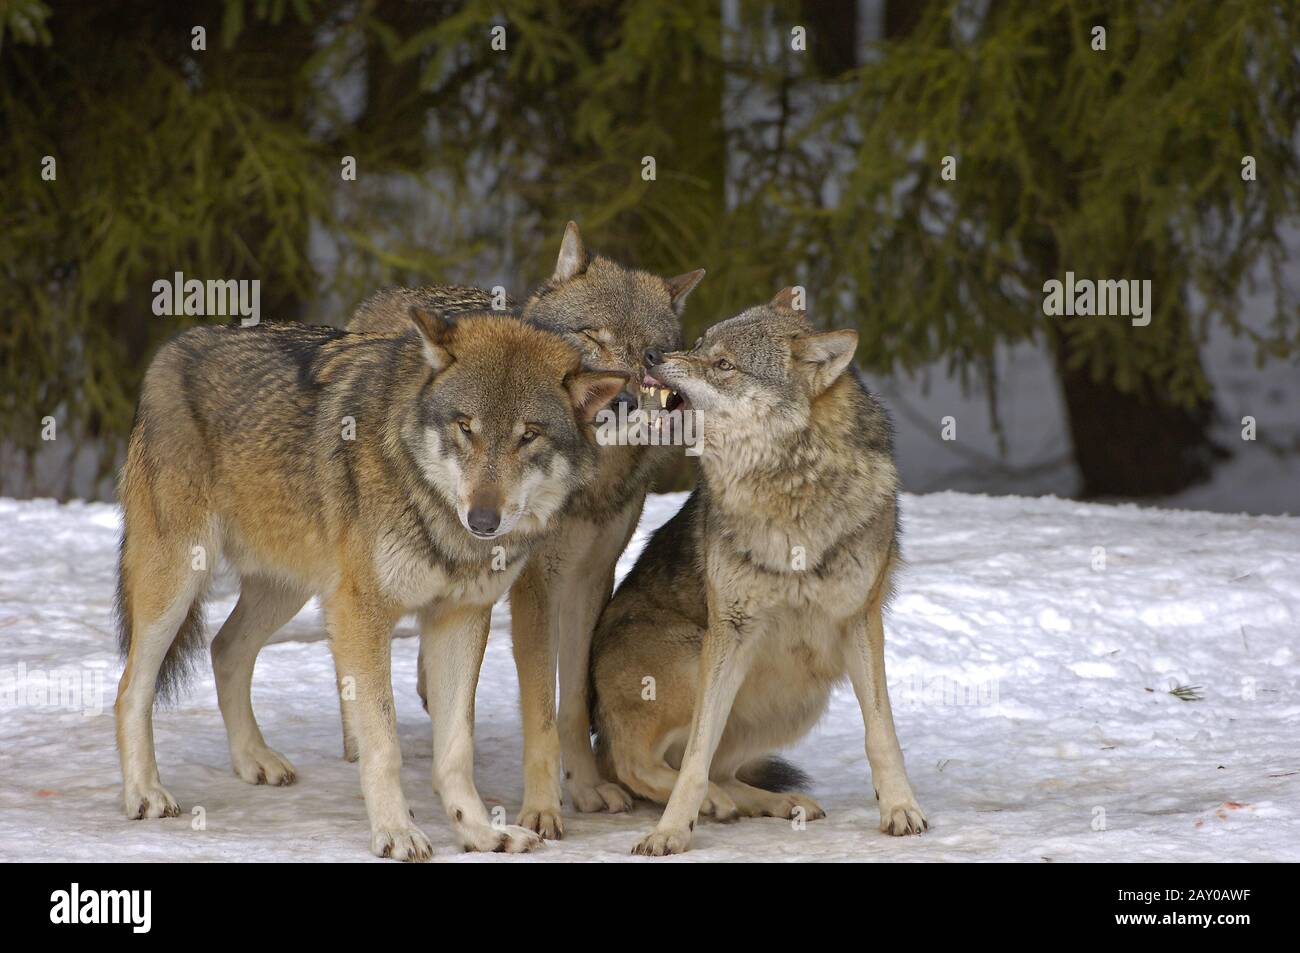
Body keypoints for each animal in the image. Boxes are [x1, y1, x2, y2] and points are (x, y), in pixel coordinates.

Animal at [114, 308, 628, 860]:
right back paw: (144, 793)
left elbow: (456, 750)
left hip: (289, 589)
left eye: (528, 435)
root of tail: (173, 348)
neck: (432, 506)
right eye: (465, 427)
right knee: (130, 688)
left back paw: (254, 759)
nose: (483, 520)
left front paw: (480, 833)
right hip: (178, 582)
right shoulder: (361, 615)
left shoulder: (460, 618)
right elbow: (383, 745)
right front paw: (397, 832)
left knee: (225, 648)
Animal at [339, 223, 705, 838]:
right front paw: (542, 809)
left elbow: (573, 701)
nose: (623, 401)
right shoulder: (536, 586)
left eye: (649, 356)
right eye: (593, 337)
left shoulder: (590, 578)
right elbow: (540, 709)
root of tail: (394, 295)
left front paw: (585, 788)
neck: (586, 481)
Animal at [588, 289, 929, 855]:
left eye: (724, 365)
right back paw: (712, 803)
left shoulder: (860, 622)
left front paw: (900, 808)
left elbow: (881, 733)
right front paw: (670, 832)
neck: (787, 492)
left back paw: (768, 802)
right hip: (696, 658)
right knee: (629, 762)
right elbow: (696, 754)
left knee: (714, 768)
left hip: (804, 691)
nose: (654, 357)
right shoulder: (730, 630)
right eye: (698, 343)